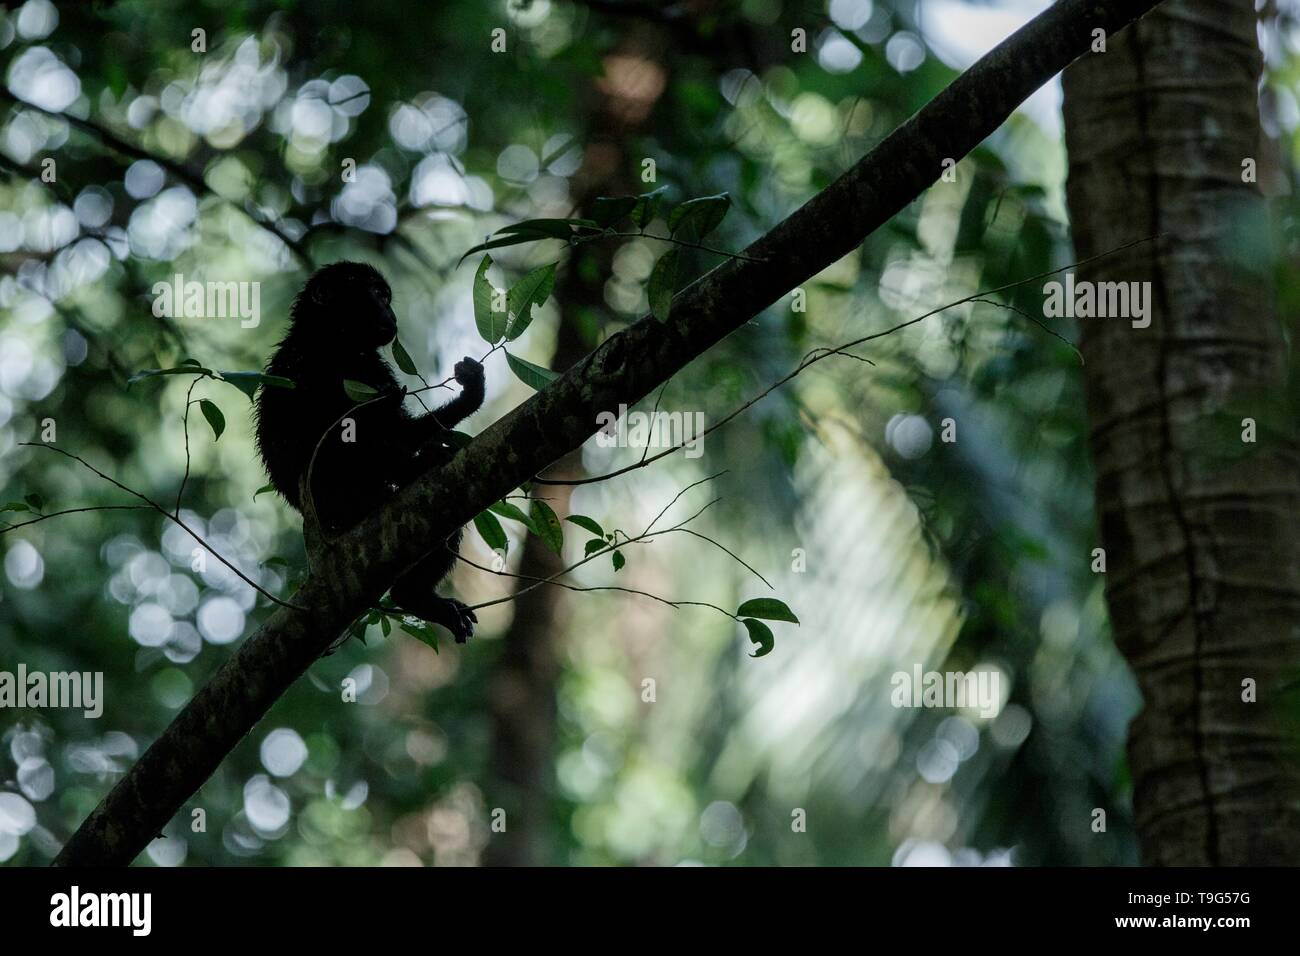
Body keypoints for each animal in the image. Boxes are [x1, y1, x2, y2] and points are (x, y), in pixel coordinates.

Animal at [255, 261, 484, 642]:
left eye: (385, 295)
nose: (390, 312)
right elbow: (347, 435)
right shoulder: (318, 366)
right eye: (375, 293)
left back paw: (414, 597)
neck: (332, 338)